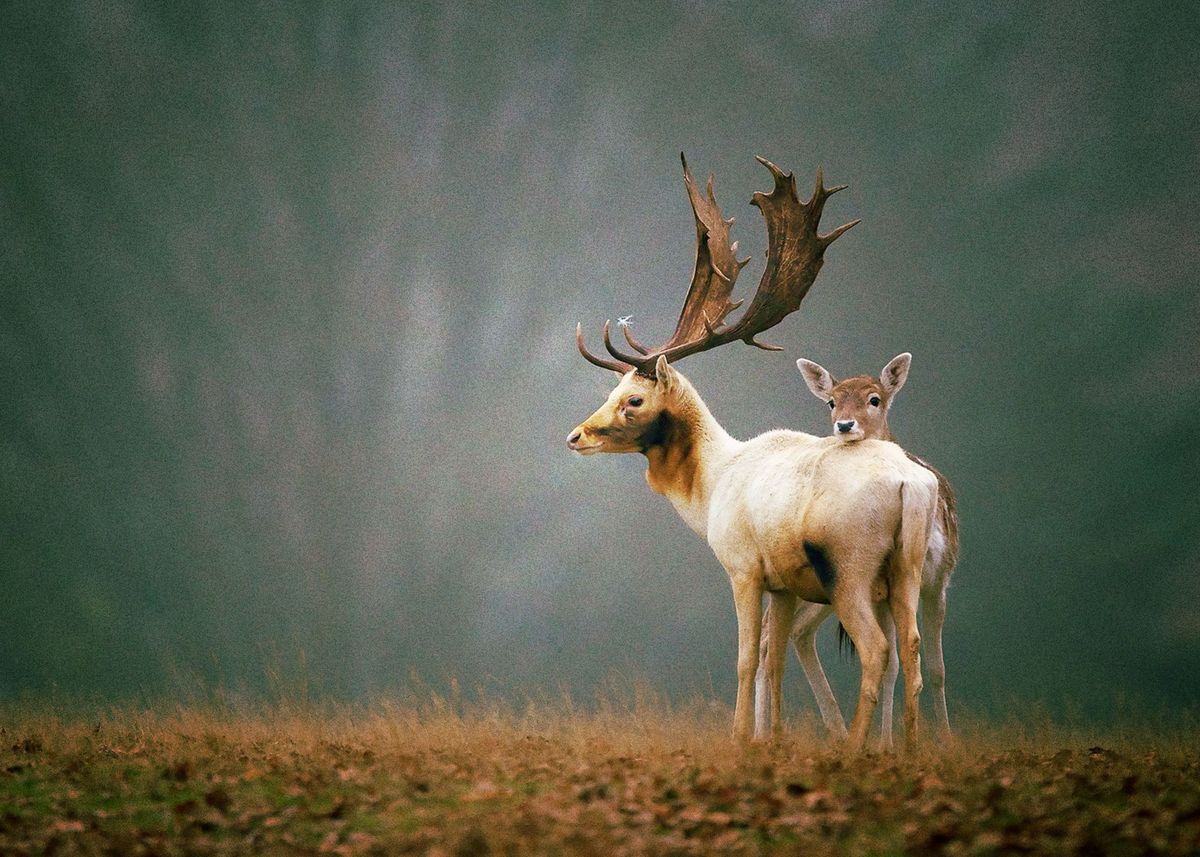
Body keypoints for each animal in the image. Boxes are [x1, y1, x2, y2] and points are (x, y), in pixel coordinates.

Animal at [754, 354, 960, 747]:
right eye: (832, 401)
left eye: (874, 399)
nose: (844, 425)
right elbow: (899, 663)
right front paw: (888, 743)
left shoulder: (938, 578)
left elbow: (935, 667)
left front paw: (938, 740)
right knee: (772, 637)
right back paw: (761, 735)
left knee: (791, 635)